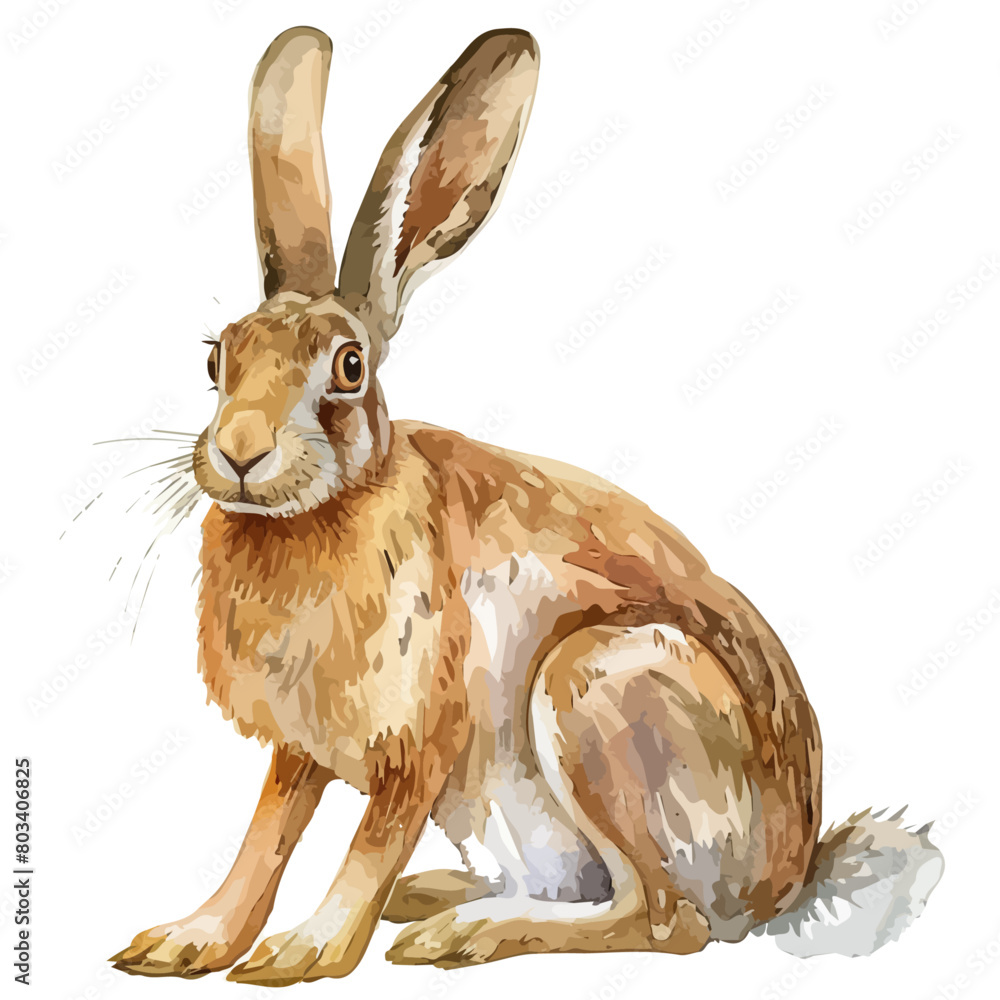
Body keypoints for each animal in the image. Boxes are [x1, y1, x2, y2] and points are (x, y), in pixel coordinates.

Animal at [109, 25, 943, 986]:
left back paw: (462, 933)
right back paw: (439, 898)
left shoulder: (419, 740)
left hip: (596, 691)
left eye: (349, 367)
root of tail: (789, 874)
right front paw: (190, 940)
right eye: (217, 359)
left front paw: (306, 950)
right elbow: (265, 837)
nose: (241, 453)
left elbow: (365, 846)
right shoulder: (301, 748)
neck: (325, 511)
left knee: (666, 919)